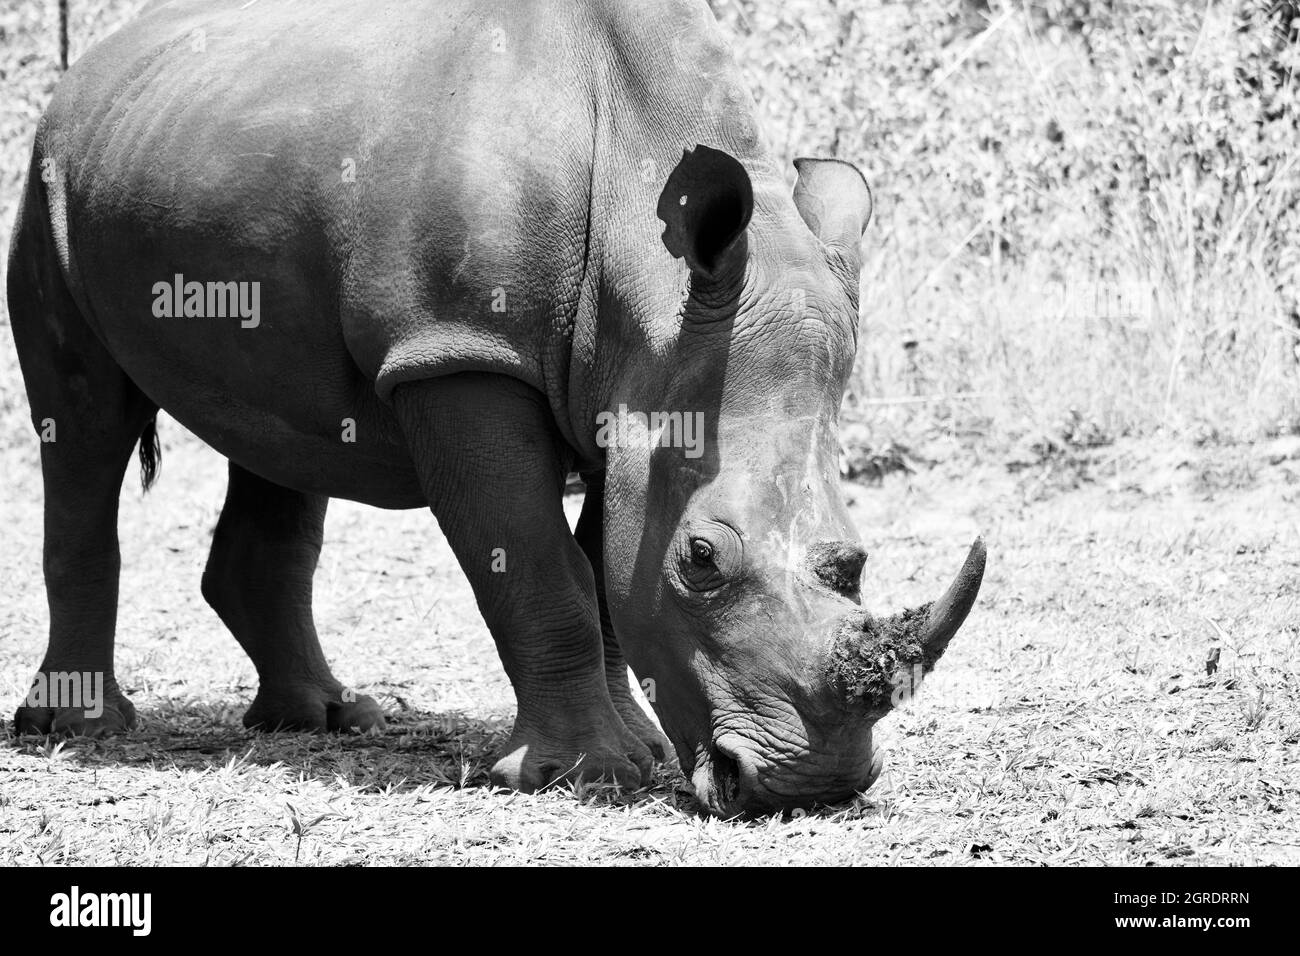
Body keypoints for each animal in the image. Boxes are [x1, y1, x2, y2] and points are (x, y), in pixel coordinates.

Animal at [6, 0, 985, 815]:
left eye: (853, 561)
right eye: (701, 559)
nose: (812, 788)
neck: (650, 268)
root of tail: (89, 71)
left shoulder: (633, 390)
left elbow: (602, 571)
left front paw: (633, 753)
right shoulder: (456, 351)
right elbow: (540, 567)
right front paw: (579, 775)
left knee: (280, 437)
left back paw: (327, 718)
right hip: (45, 185)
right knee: (82, 425)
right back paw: (82, 730)